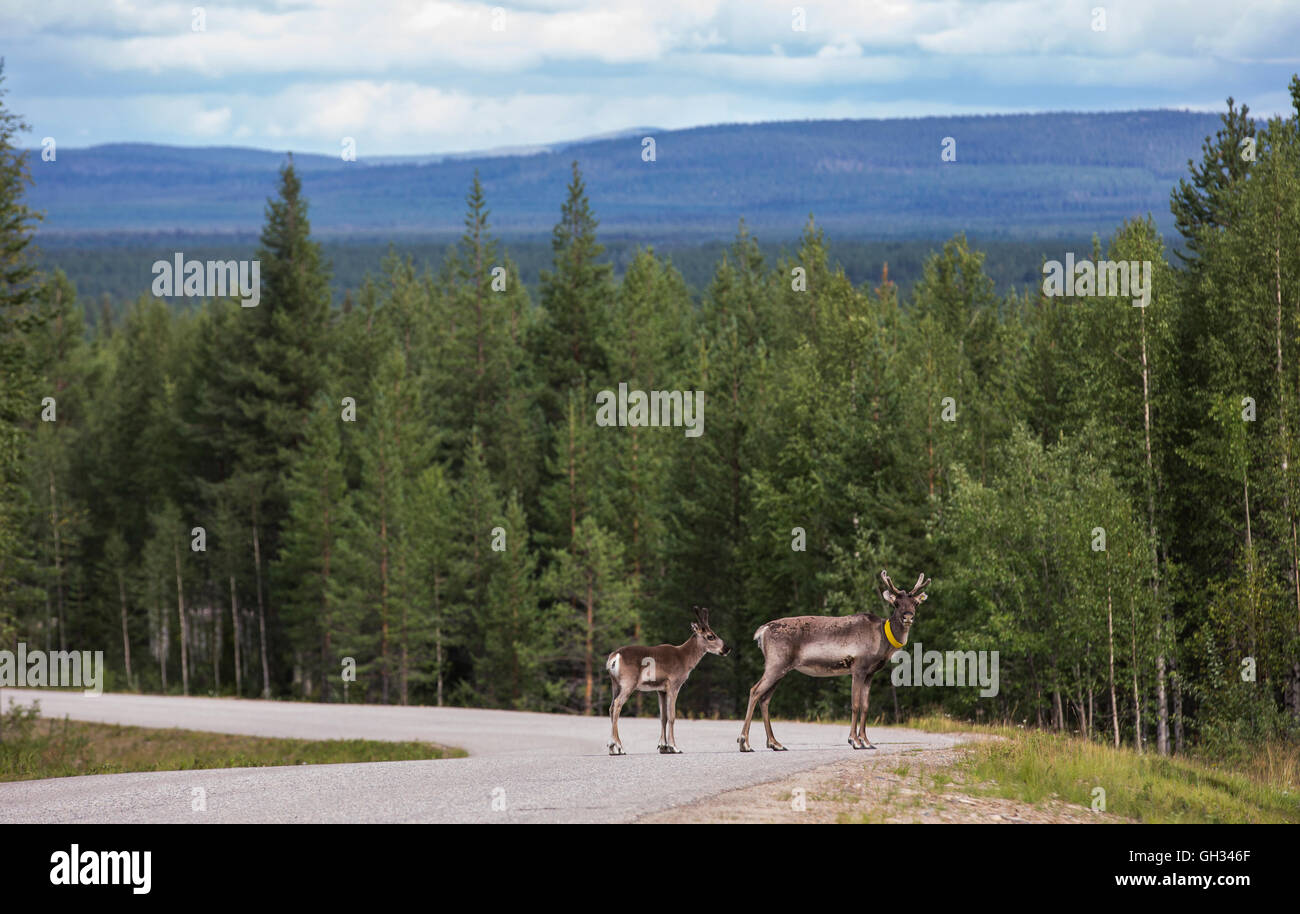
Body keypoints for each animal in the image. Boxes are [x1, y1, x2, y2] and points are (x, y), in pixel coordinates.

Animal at [606, 606, 730, 755]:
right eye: (710, 636)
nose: (727, 648)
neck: (685, 659)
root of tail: (615, 657)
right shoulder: (674, 684)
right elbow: (672, 716)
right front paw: (674, 747)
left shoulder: (661, 690)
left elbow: (663, 717)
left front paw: (663, 746)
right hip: (628, 683)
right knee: (617, 704)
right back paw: (619, 747)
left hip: (615, 684)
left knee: (611, 707)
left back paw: (612, 747)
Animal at [738, 570, 929, 752]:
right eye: (896, 603)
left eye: (916, 604)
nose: (908, 617)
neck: (883, 639)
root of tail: (762, 632)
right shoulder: (858, 667)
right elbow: (855, 704)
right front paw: (854, 741)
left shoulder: (870, 674)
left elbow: (866, 706)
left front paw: (867, 742)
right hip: (775, 664)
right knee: (755, 691)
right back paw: (745, 743)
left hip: (781, 669)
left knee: (765, 699)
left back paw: (775, 743)